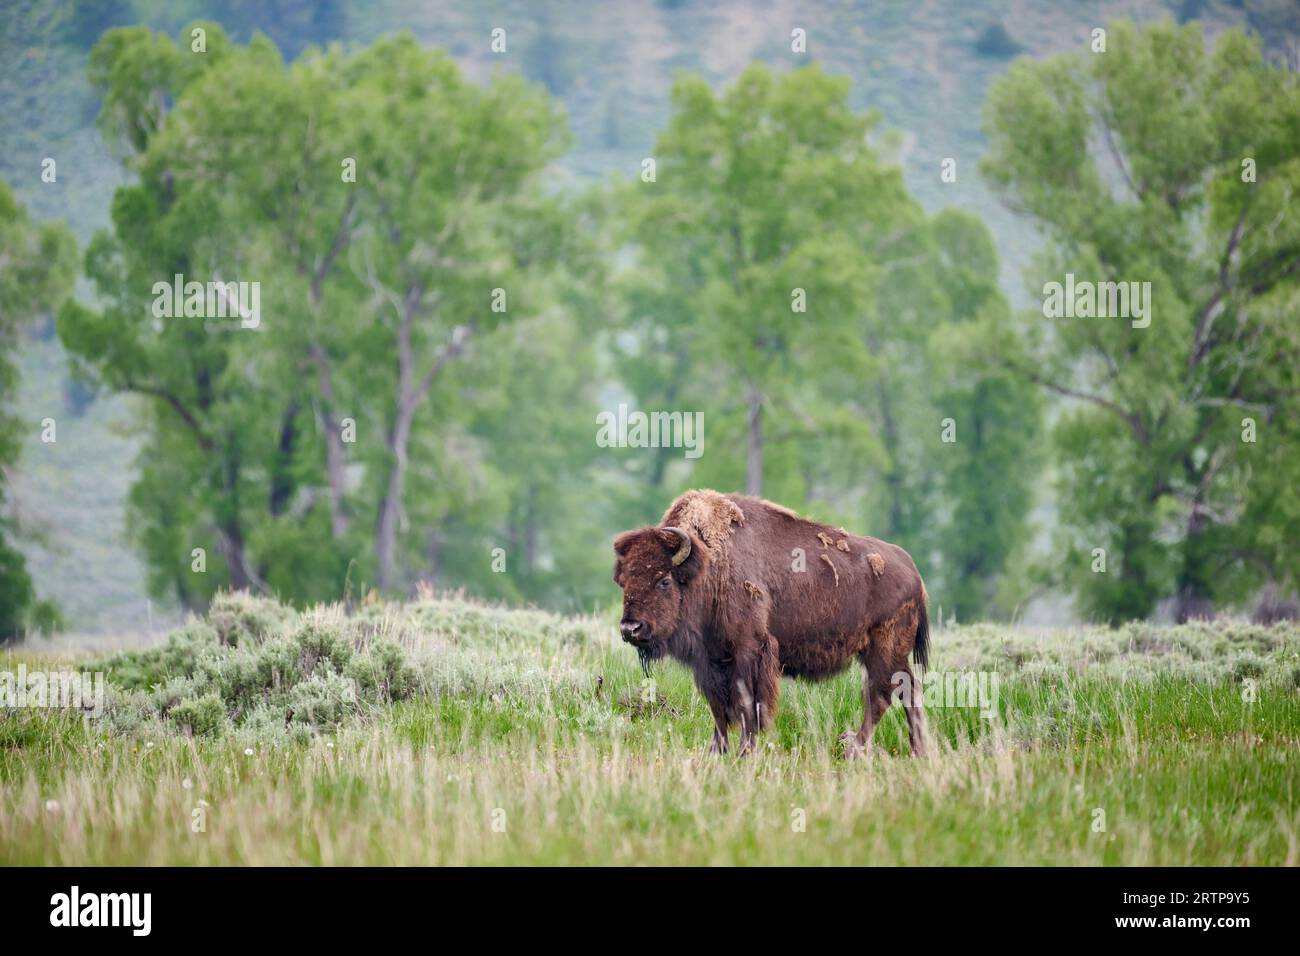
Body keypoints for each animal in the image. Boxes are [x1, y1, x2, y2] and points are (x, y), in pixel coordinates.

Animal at [613, 489, 930, 757]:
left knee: (881, 695)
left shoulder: (749, 650)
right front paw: (716, 752)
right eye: (624, 581)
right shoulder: (711, 661)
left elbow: (746, 703)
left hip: (883, 650)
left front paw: (745, 751)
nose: (630, 629)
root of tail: (913, 570)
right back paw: (919, 752)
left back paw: (854, 748)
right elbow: (718, 707)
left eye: (664, 580)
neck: (709, 566)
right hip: (891, 654)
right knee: (908, 690)